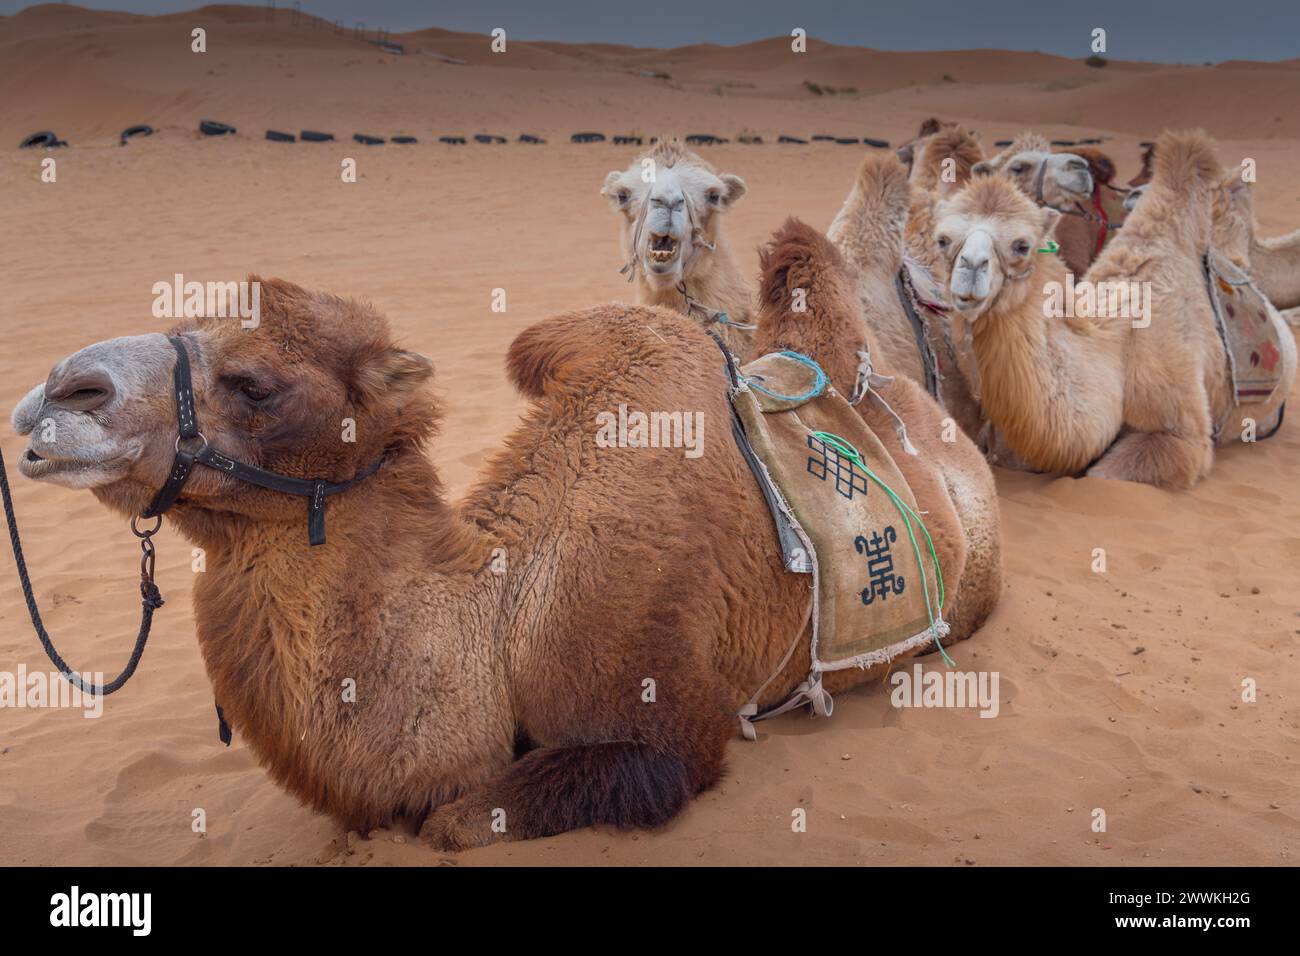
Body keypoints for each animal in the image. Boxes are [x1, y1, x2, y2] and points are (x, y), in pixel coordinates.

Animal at [932, 129, 1295, 488]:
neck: (1116, 352)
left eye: (1022, 246)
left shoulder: (1183, 436)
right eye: (942, 240)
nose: (971, 268)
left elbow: (1102, 473)